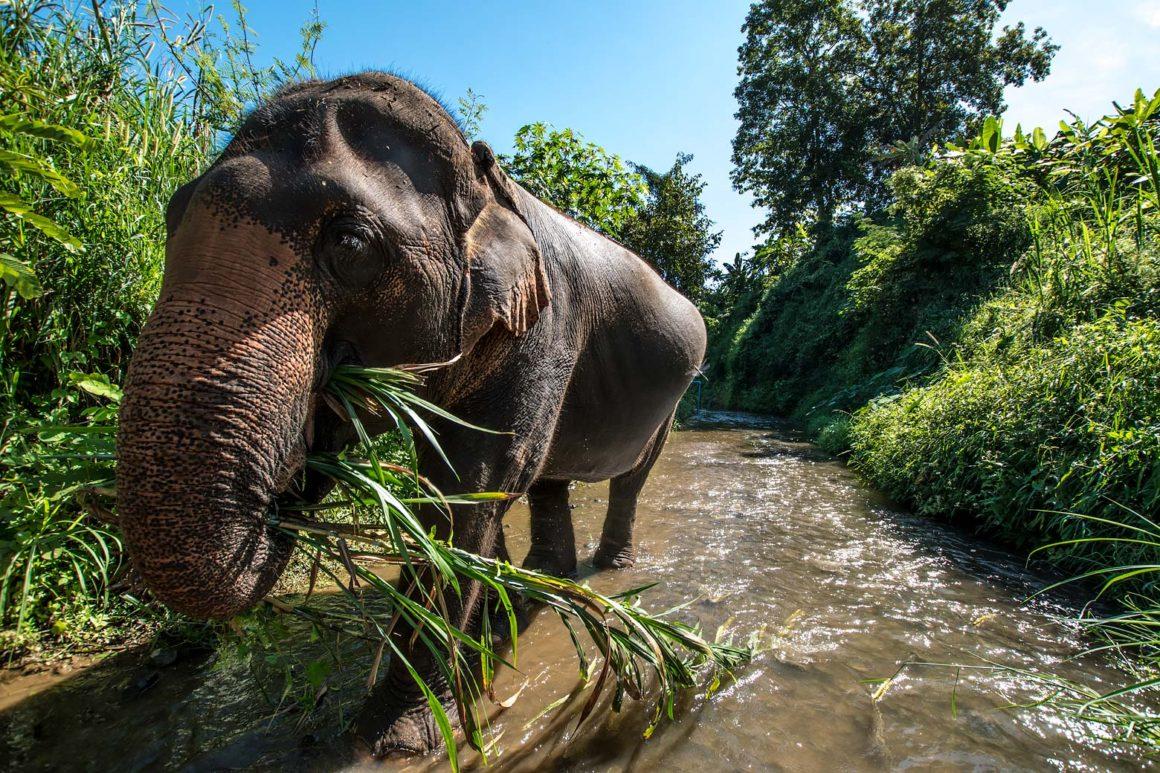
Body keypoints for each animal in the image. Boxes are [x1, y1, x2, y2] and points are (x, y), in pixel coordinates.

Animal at [116, 72, 705, 757]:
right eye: (171, 214)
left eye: (350, 243)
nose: (282, 491)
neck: (485, 183)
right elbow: (470, 490)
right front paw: (490, 624)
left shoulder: (540, 329)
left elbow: (464, 498)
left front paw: (390, 742)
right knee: (549, 479)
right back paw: (545, 580)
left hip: (676, 393)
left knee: (629, 477)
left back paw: (610, 570)